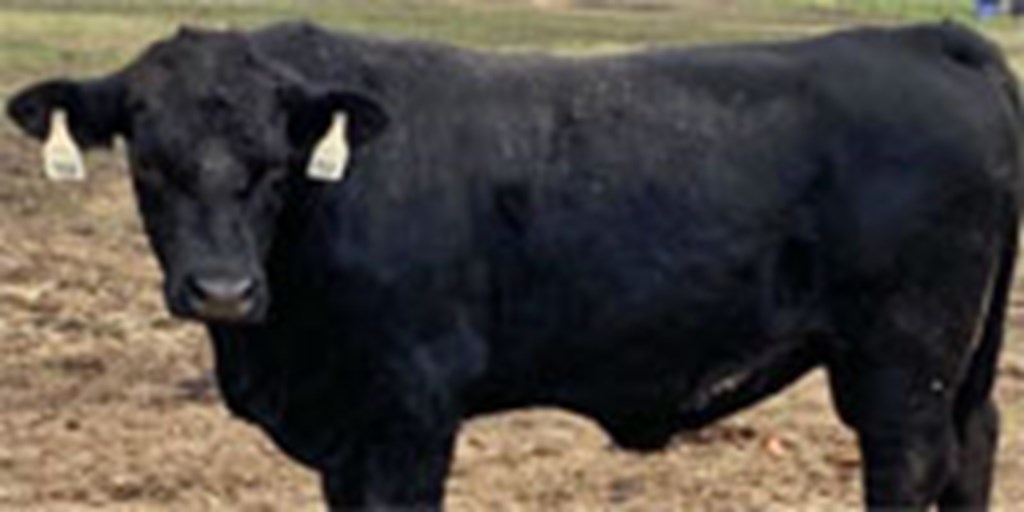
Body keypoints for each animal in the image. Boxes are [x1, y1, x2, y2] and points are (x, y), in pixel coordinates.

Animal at [6, 20, 1021, 511]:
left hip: (899, 362)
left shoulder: (410, 411)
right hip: (955, 365)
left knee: (911, 464)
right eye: (147, 162)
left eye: (275, 164)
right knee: (973, 447)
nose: (222, 290)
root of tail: (923, 37)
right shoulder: (344, 432)